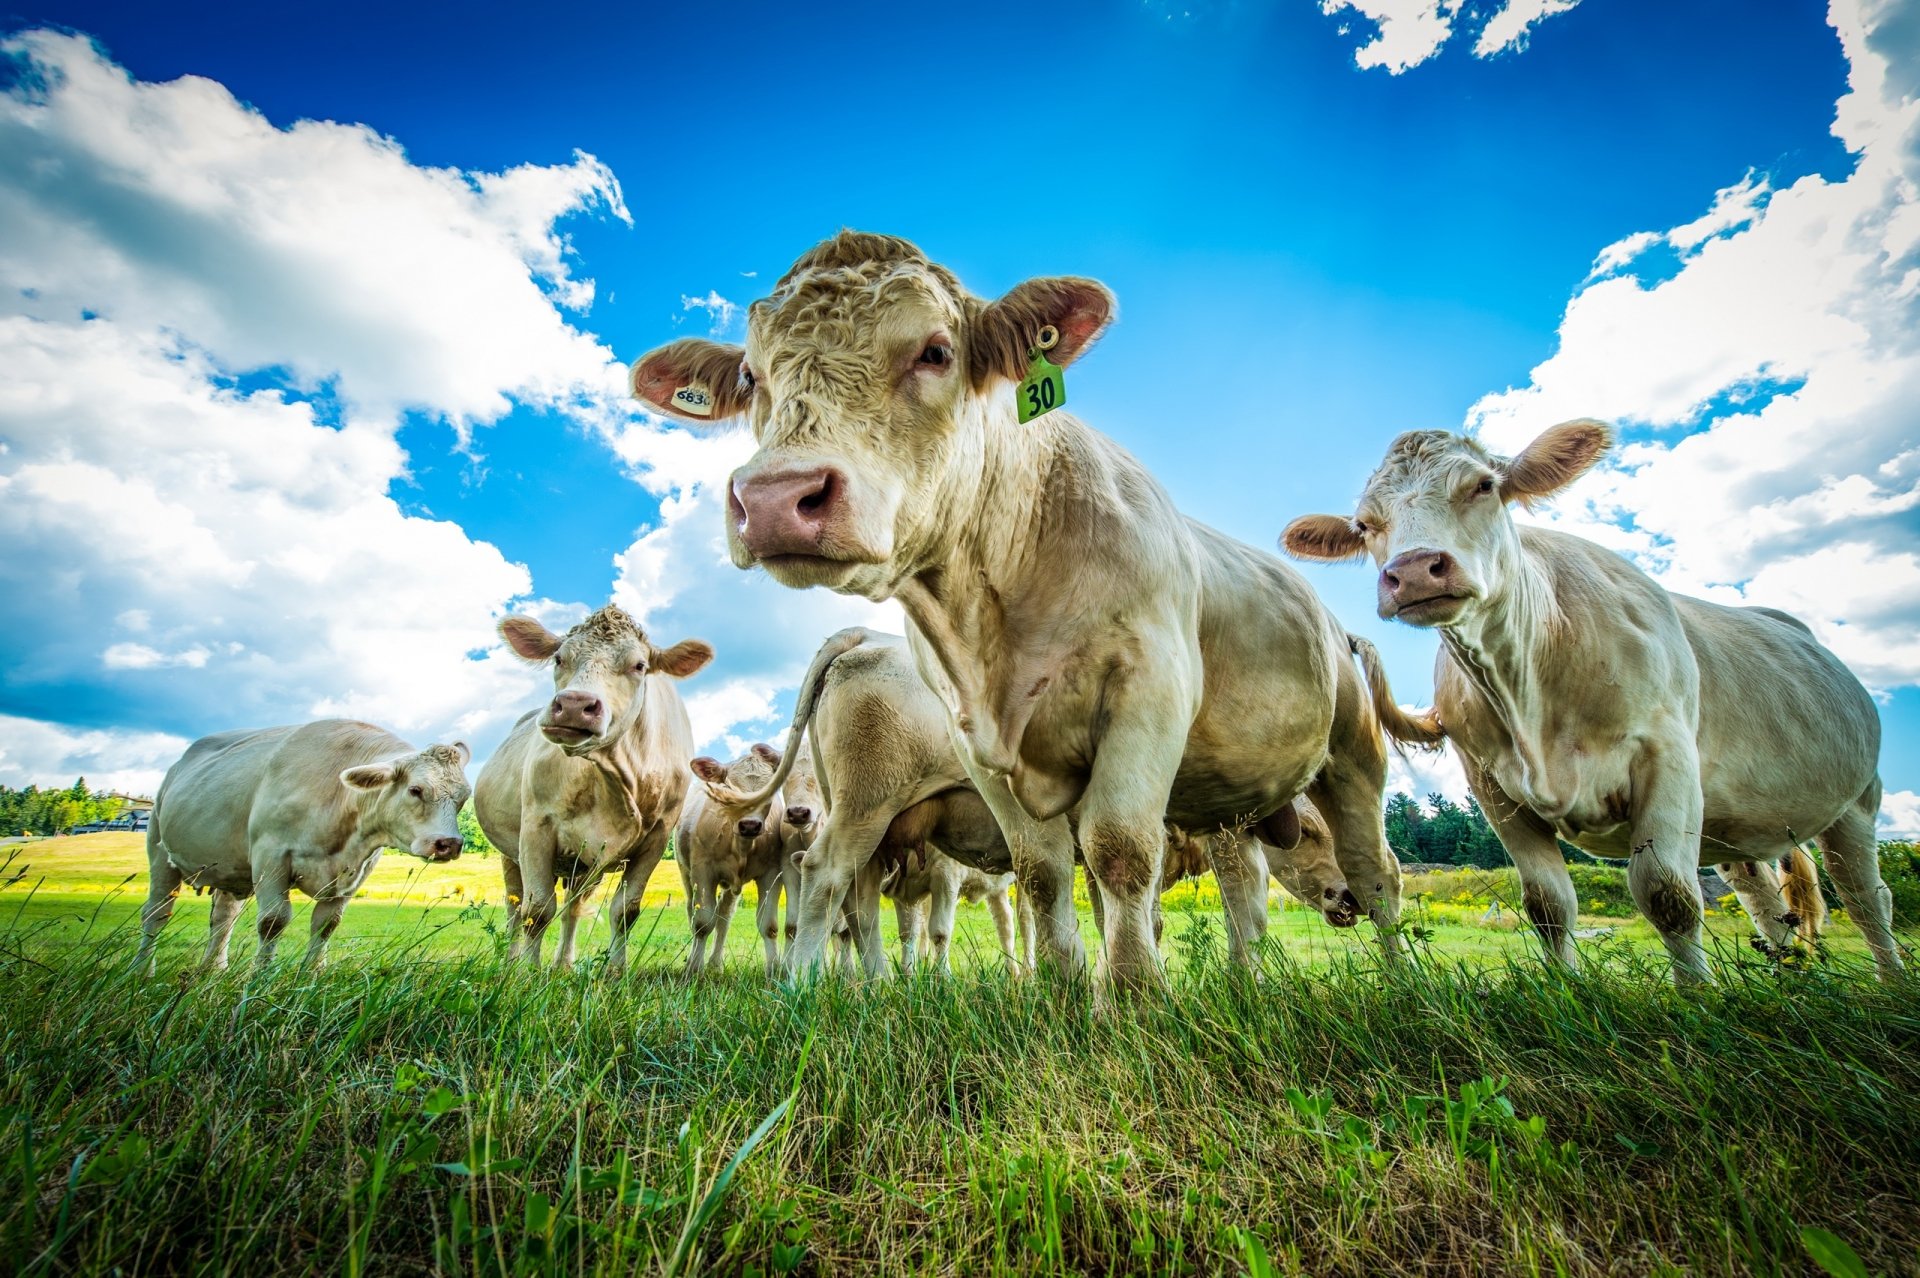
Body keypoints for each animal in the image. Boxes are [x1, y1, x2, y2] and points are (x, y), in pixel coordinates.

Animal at [135, 720, 470, 974]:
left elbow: (326, 925)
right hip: (159, 850)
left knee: (223, 918)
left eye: (463, 797)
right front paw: (261, 978)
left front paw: (311, 976)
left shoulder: (353, 874)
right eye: (415, 790)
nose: (449, 843)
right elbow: (273, 921)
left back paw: (213, 970)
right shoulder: (270, 857)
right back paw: (143, 970)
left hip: (229, 868)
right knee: (157, 913)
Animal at [473, 605, 713, 976]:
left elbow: (625, 910)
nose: (574, 704)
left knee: (572, 908)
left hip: (581, 867)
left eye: (639, 666)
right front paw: (528, 974)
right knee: (515, 908)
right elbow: (537, 910)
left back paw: (564, 964)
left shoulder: (656, 838)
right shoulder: (536, 828)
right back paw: (512, 963)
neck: (613, 775)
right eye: (559, 658)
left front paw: (615, 971)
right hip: (510, 853)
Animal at [677, 745, 791, 977]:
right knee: (692, 911)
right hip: (686, 873)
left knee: (724, 915)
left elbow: (769, 925)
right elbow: (702, 923)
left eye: (770, 790)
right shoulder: (703, 872)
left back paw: (715, 963)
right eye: (728, 789)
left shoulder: (771, 874)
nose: (749, 825)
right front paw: (694, 970)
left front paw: (773, 970)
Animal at [1282, 420, 1902, 982]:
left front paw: (1699, 1001)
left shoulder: (1667, 755)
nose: (1412, 572)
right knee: (1769, 903)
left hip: (1856, 802)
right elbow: (1547, 905)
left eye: (1483, 485)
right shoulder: (1493, 788)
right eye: (1365, 524)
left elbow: (1668, 895)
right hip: (1737, 826)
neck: (1528, 686)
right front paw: (1569, 993)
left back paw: (1889, 983)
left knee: (1868, 898)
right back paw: (1793, 982)